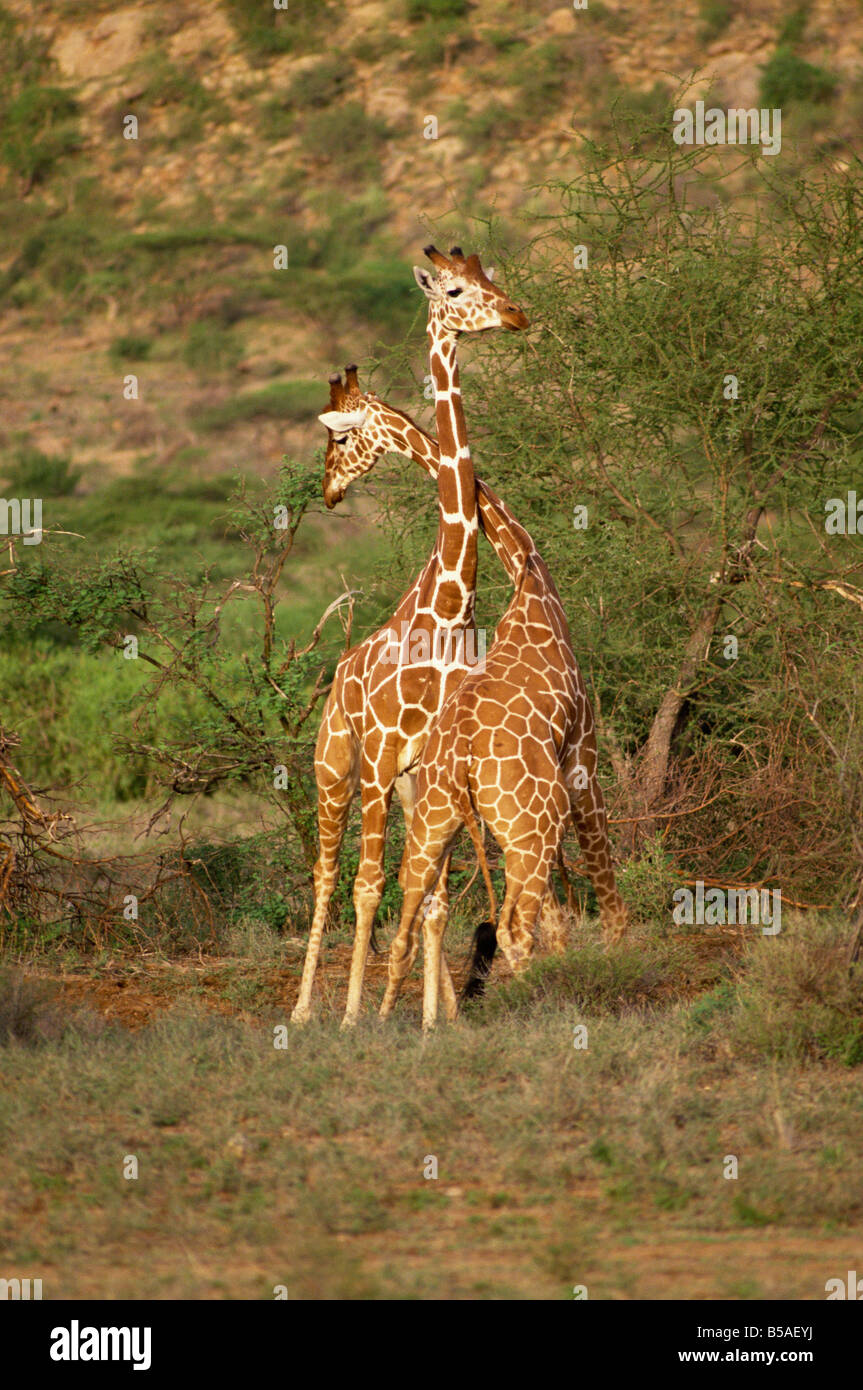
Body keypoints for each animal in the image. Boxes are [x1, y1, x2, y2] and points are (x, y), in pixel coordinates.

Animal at [290, 246, 528, 1027]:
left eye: (488, 282)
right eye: (454, 290)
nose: (515, 313)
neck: (449, 603)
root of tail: (337, 675)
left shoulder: (432, 764)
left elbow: (433, 898)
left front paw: (430, 1019)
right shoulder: (379, 756)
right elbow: (370, 886)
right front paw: (355, 1016)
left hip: (398, 783)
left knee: (416, 886)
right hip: (334, 768)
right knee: (328, 875)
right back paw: (305, 1011)